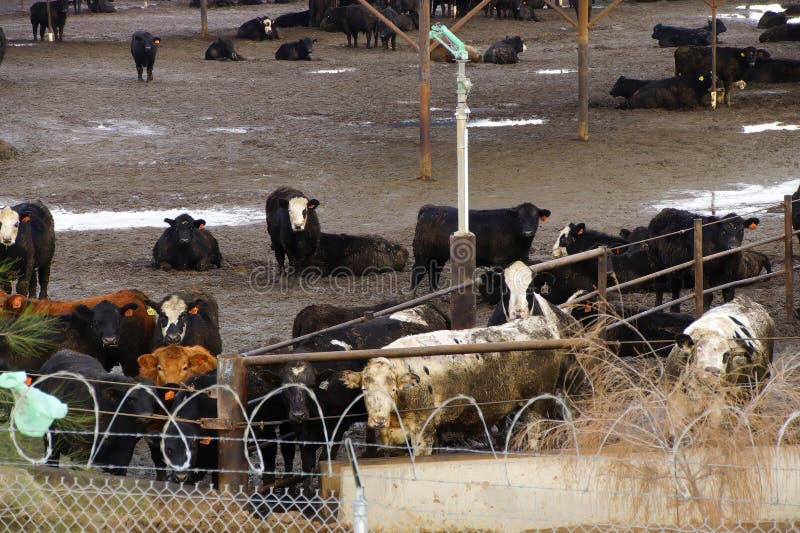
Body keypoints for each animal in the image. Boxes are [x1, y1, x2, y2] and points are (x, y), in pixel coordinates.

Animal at [340, 313, 582, 455]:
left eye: (392, 389)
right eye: (364, 389)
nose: (378, 420)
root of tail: (541, 324)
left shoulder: (424, 432)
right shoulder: (389, 438)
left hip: (536, 404)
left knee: (535, 433)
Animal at [410, 203, 551, 291]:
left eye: (535, 218)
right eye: (520, 219)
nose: (528, 232)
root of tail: (430, 208)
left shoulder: (523, 257)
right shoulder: (500, 260)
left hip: (438, 256)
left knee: (434, 271)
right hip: (422, 252)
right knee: (418, 271)